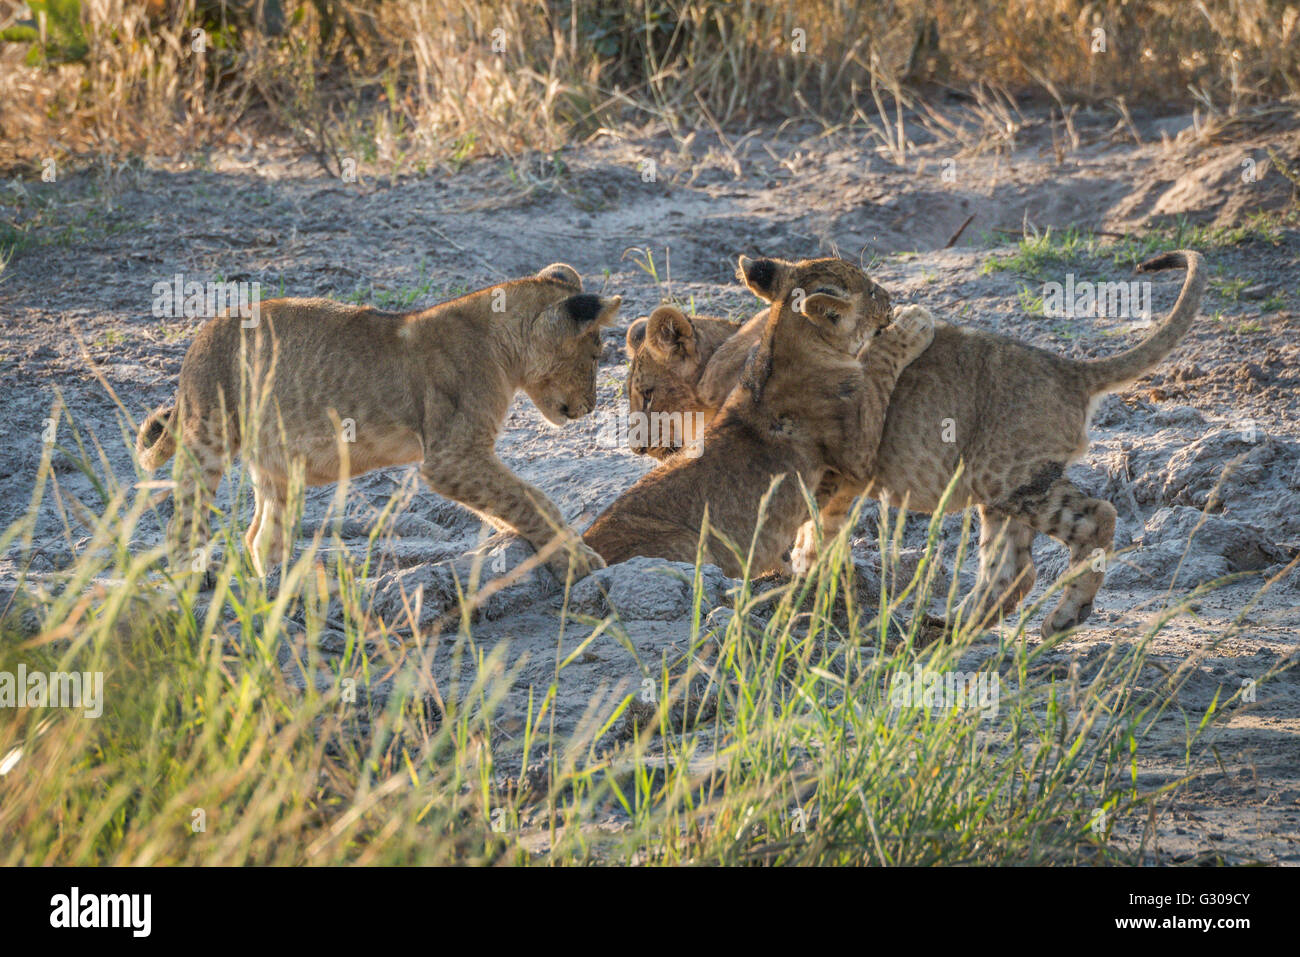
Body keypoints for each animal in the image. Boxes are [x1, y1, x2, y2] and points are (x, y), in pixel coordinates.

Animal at [136, 264, 620, 581]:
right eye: (596, 355)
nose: (592, 406)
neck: (502, 344)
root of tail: (200, 334)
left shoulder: (463, 460)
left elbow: (506, 502)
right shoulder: (451, 457)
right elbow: (529, 498)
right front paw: (578, 559)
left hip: (277, 461)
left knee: (260, 534)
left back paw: (274, 587)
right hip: (209, 434)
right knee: (184, 523)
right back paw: (196, 581)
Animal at [583, 257, 934, 578]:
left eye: (646, 395)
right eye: (872, 292)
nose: (890, 298)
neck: (780, 354)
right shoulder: (858, 451)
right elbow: (878, 363)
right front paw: (914, 322)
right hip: (688, 544)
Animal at [620, 250, 1207, 637]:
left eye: (645, 393)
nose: (638, 449)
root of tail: (1069, 369)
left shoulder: (839, 463)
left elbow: (809, 524)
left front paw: (801, 579)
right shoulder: (834, 476)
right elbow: (818, 529)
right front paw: (814, 580)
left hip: (1009, 476)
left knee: (1097, 518)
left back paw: (1062, 617)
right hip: (1000, 489)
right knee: (1014, 569)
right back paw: (950, 629)